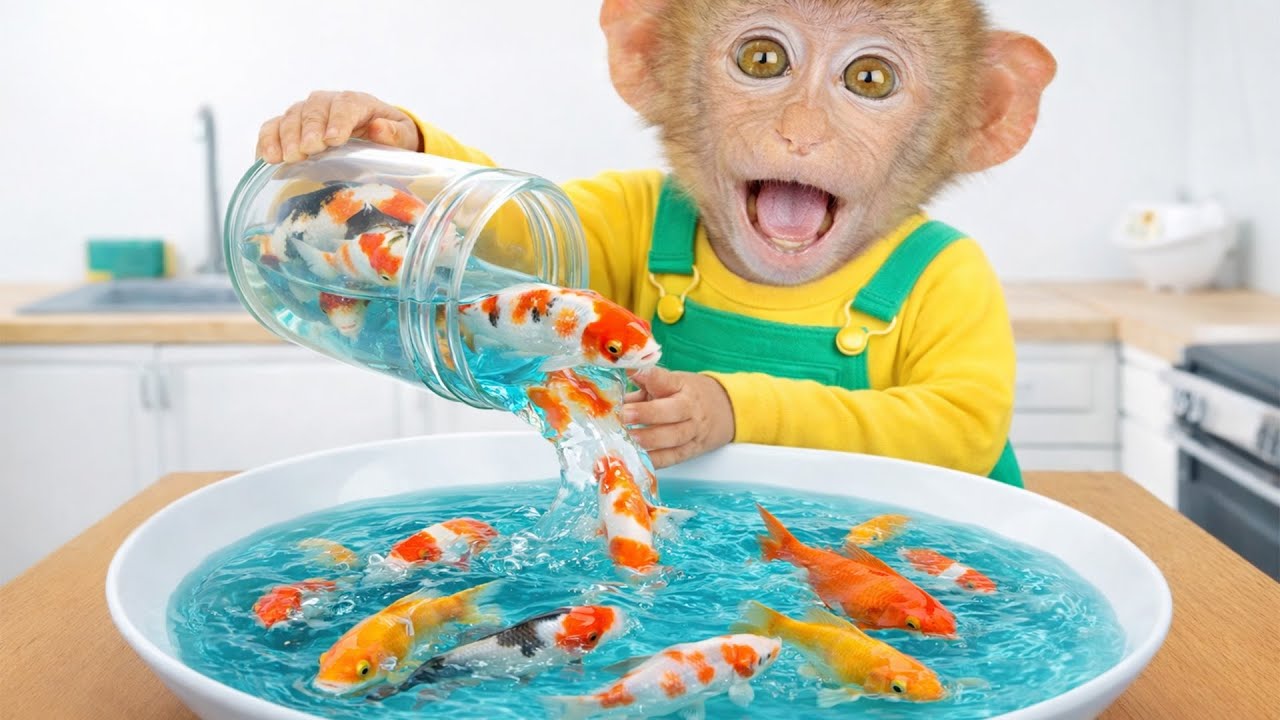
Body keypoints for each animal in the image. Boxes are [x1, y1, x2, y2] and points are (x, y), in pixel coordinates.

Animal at [257, 0, 1056, 484]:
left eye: (869, 78)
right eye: (763, 60)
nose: (802, 131)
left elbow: (955, 412)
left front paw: (702, 405)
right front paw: (354, 121)